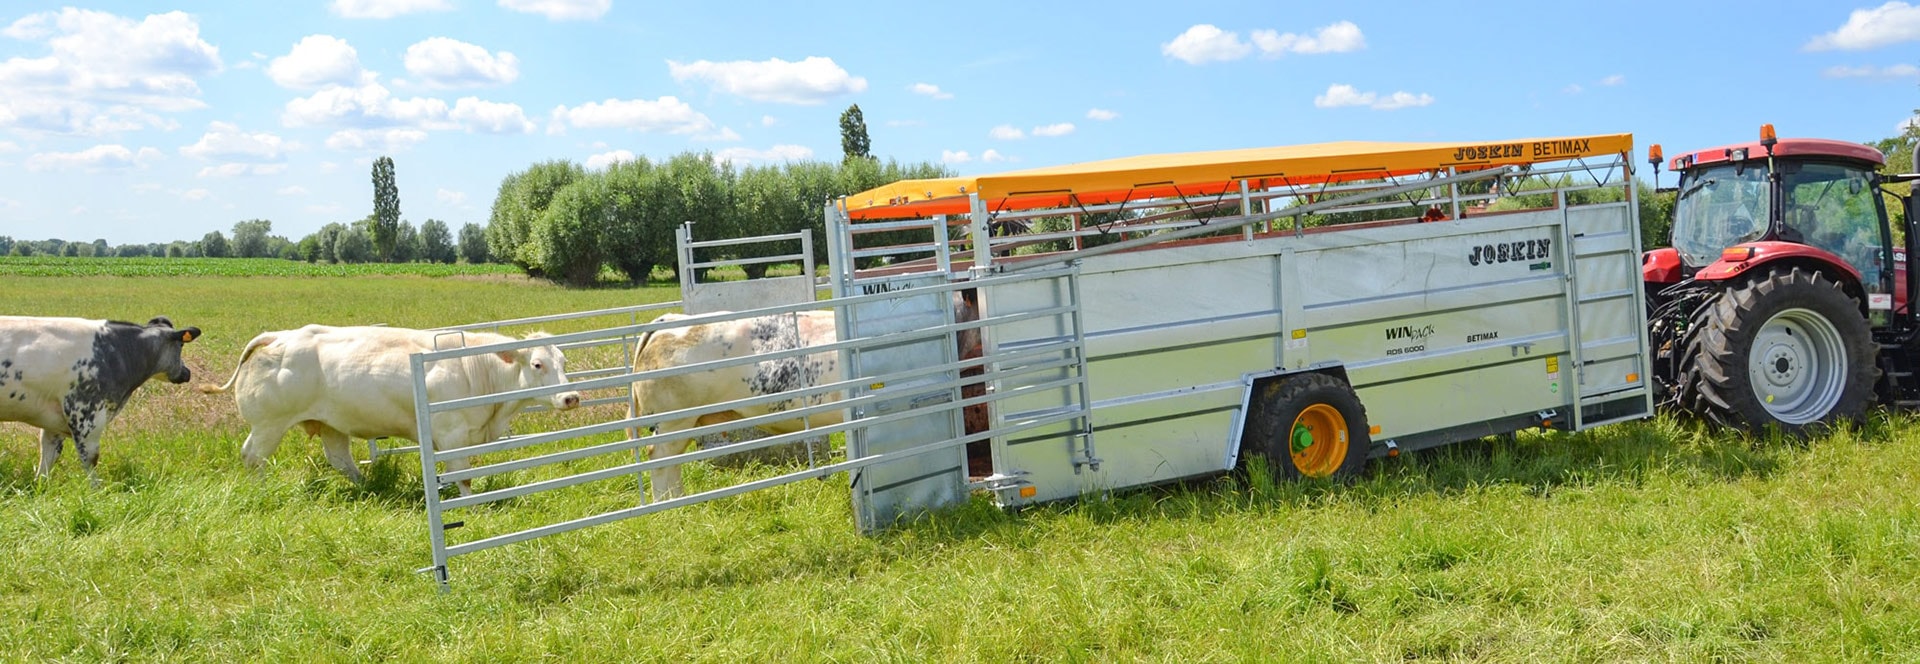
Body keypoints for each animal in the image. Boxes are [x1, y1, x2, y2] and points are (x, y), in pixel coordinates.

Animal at [0, 315, 201, 484]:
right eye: (181, 346)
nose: (187, 372)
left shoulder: (53, 421)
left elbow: (48, 458)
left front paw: (40, 488)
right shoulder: (86, 414)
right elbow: (90, 459)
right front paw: (96, 492)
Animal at [199, 325, 581, 493]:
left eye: (563, 362)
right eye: (537, 364)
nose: (571, 398)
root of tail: (279, 336)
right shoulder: (453, 434)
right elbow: (463, 476)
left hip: (331, 424)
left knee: (340, 460)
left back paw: (367, 487)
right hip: (268, 425)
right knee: (253, 457)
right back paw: (262, 490)